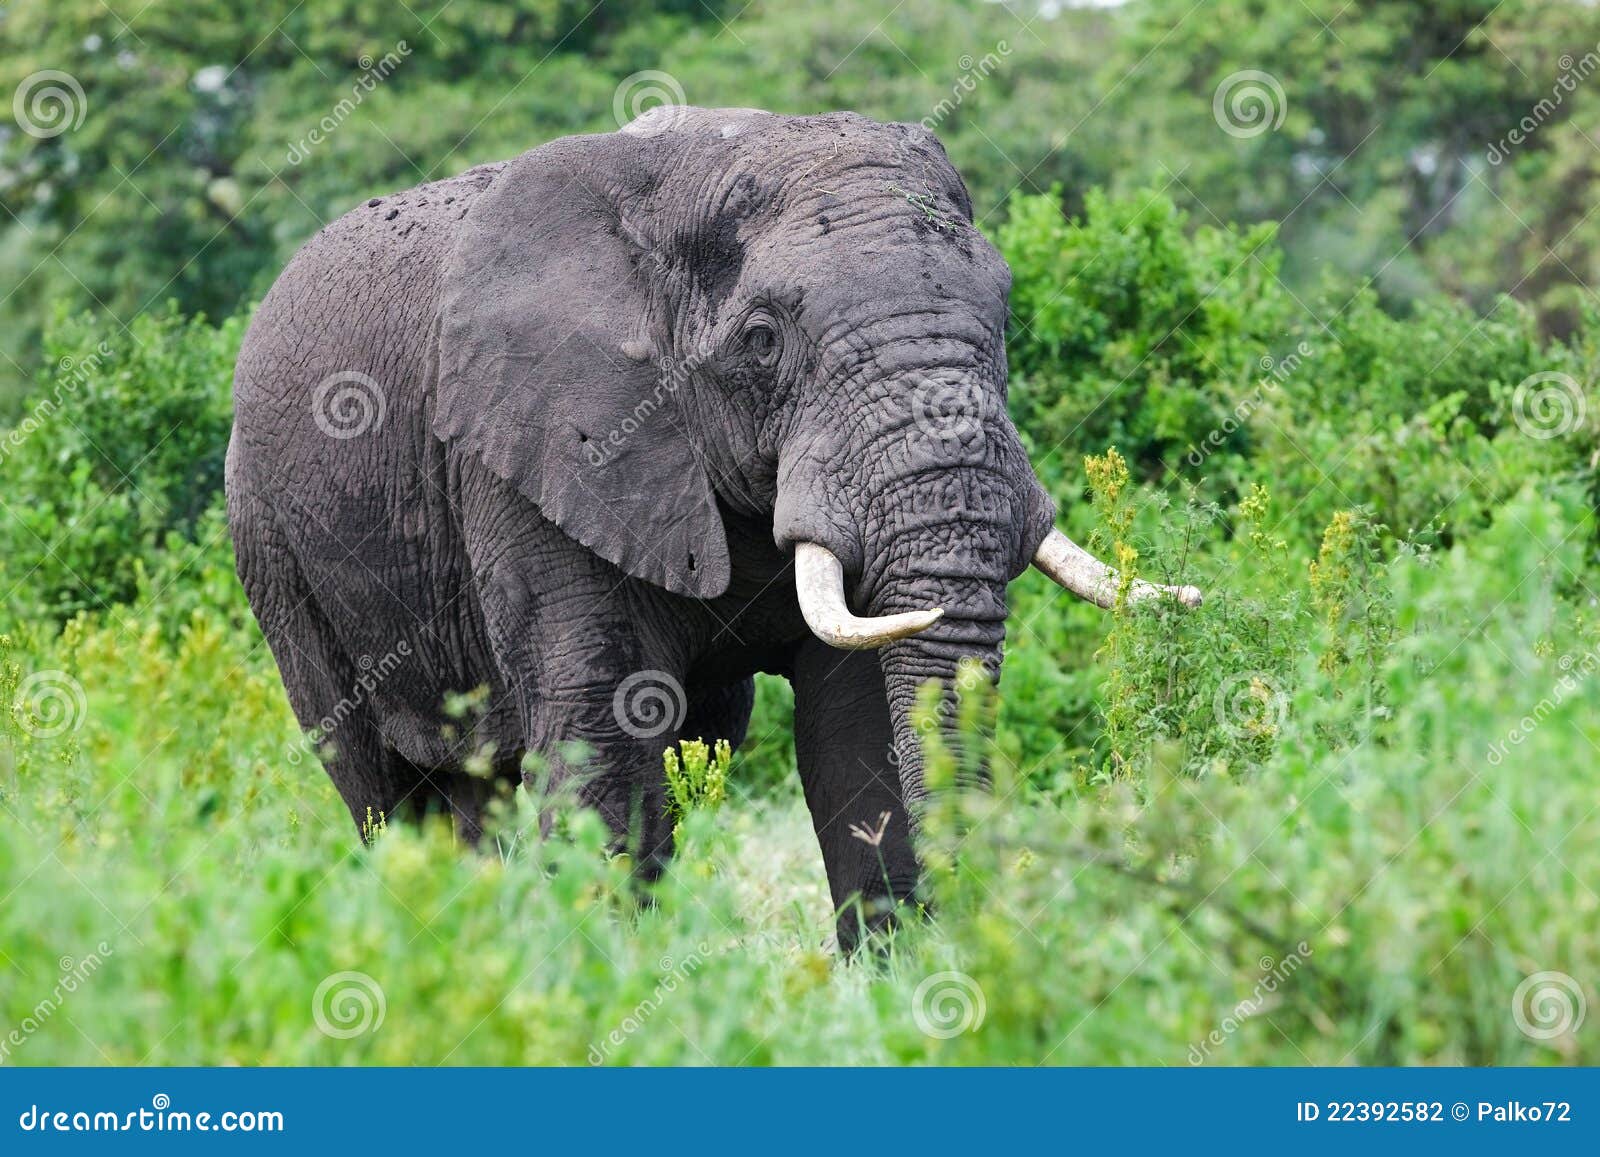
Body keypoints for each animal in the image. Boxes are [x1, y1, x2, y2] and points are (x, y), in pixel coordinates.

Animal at [226, 106, 1200, 949]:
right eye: (763, 340)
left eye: (1003, 312)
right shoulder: (531, 455)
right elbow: (602, 723)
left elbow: (856, 727)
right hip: (272, 543)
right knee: (382, 786)